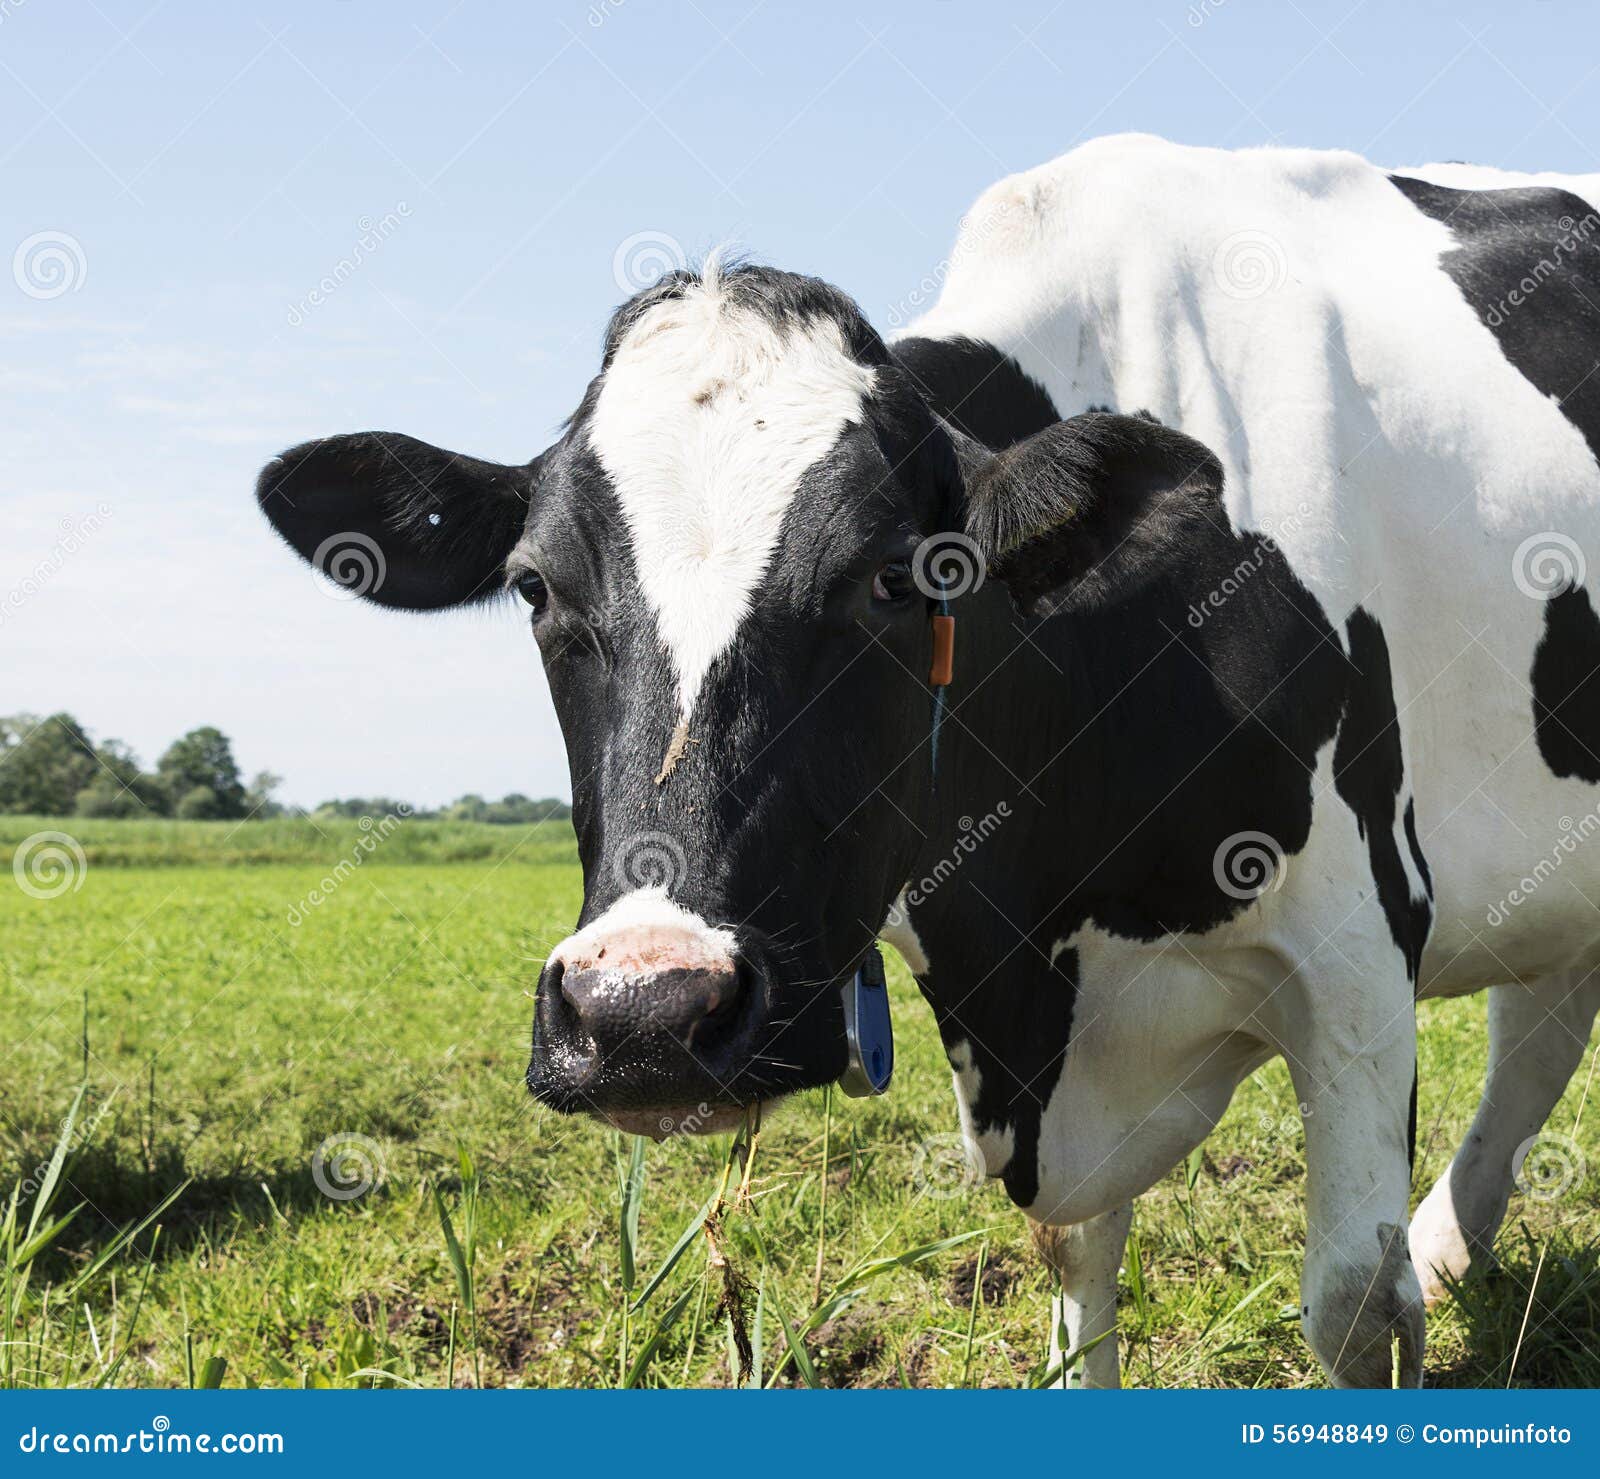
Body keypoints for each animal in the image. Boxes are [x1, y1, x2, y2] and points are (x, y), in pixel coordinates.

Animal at [257, 133, 1600, 1388]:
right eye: (536, 586)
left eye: (898, 578)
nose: (642, 1010)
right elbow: (1072, 1262)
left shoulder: (1357, 947)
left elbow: (1355, 1313)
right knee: (1543, 1024)